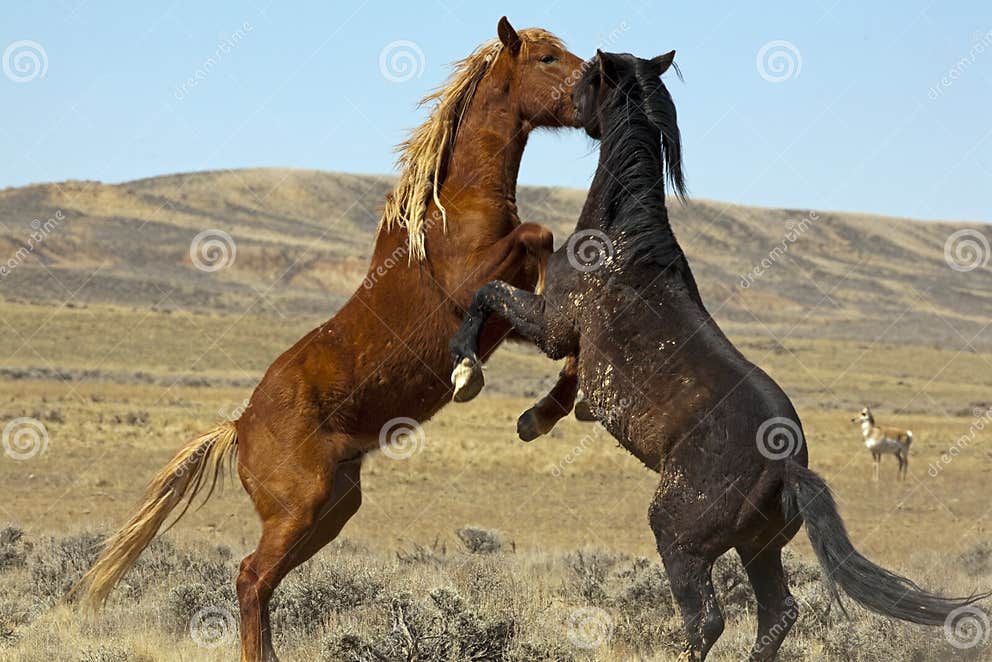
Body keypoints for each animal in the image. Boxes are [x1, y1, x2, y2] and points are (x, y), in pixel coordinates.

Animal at [73, 18, 587, 661]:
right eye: (547, 59)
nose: (597, 84)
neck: (457, 204)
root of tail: (238, 427)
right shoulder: (473, 282)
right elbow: (539, 237)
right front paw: (470, 376)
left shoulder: (507, 315)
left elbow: (561, 320)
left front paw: (547, 410)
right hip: (304, 506)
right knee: (249, 576)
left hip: (333, 508)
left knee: (262, 582)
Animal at [448, 50, 988, 661]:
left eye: (587, 76)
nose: (566, 104)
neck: (620, 240)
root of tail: (787, 465)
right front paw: (535, 416)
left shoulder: (554, 325)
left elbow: (488, 294)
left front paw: (465, 372)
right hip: (759, 547)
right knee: (778, 612)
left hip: (680, 536)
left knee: (705, 619)